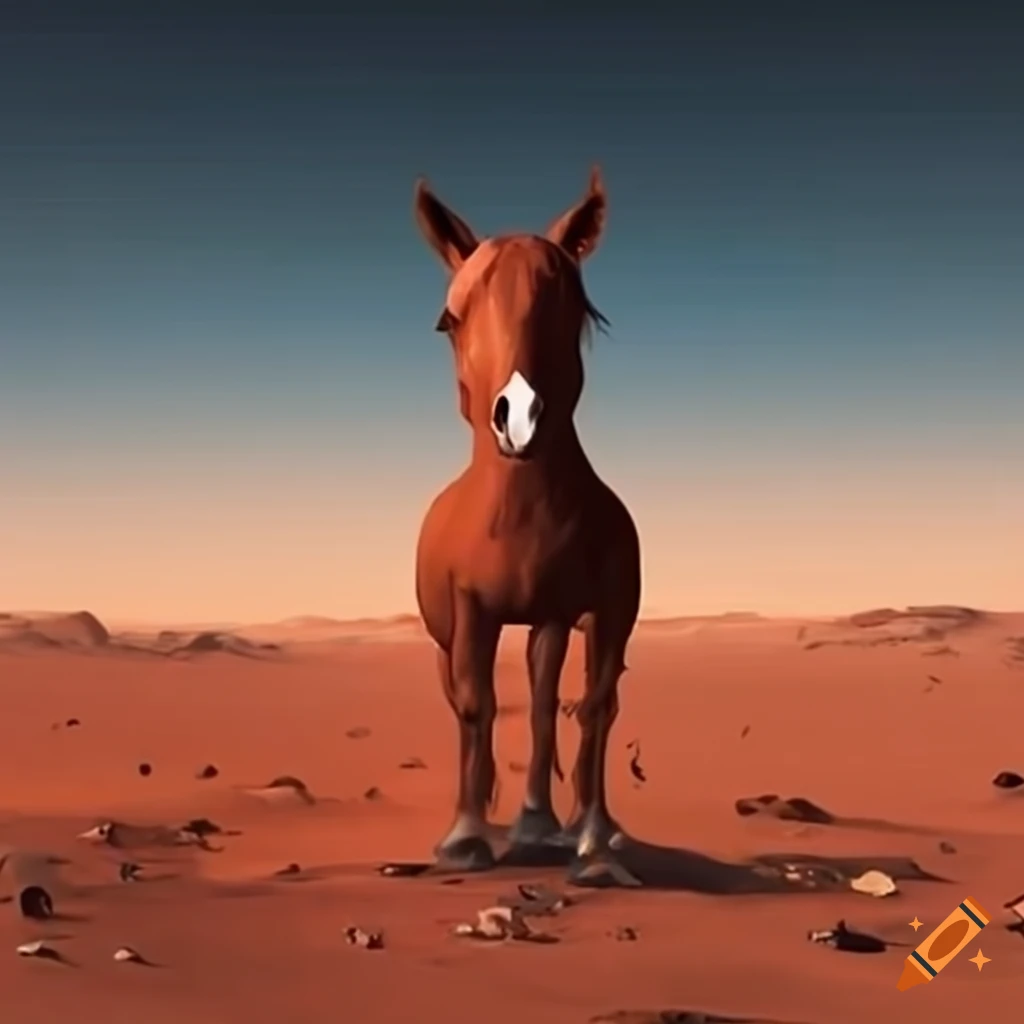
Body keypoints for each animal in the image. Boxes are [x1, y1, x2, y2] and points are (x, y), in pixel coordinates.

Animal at [412, 167, 642, 878]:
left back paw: (540, 822)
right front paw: (464, 838)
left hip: (550, 621)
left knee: (544, 700)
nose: (520, 416)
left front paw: (593, 838)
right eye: (449, 320)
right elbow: (477, 705)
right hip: (450, 637)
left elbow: (585, 706)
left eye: (579, 310)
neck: (520, 520)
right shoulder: (470, 612)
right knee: (472, 704)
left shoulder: (592, 612)